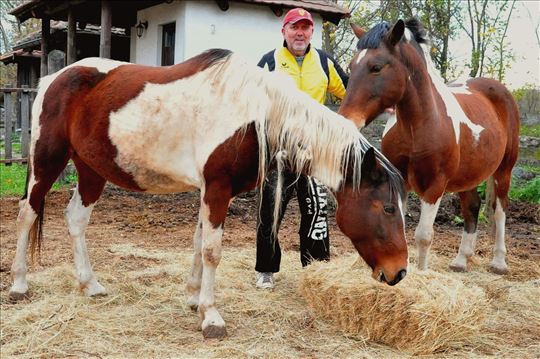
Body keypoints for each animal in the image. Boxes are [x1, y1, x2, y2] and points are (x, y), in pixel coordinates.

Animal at [8, 49, 408, 338]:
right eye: (388, 208)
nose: (399, 273)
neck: (254, 113)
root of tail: (53, 78)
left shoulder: (209, 191)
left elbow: (200, 243)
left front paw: (193, 298)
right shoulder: (217, 189)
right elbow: (213, 251)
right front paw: (212, 317)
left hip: (92, 170)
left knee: (76, 219)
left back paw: (90, 285)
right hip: (47, 160)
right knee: (27, 213)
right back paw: (19, 285)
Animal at [340, 19, 520, 276]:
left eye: (376, 67)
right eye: (351, 66)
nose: (346, 119)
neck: (420, 126)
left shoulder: (435, 185)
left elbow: (424, 236)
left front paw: (421, 273)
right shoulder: (399, 181)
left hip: (504, 171)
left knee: (500, 210)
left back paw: (498, 262)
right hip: (468, 176)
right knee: (472, 207)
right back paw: (461, 260)